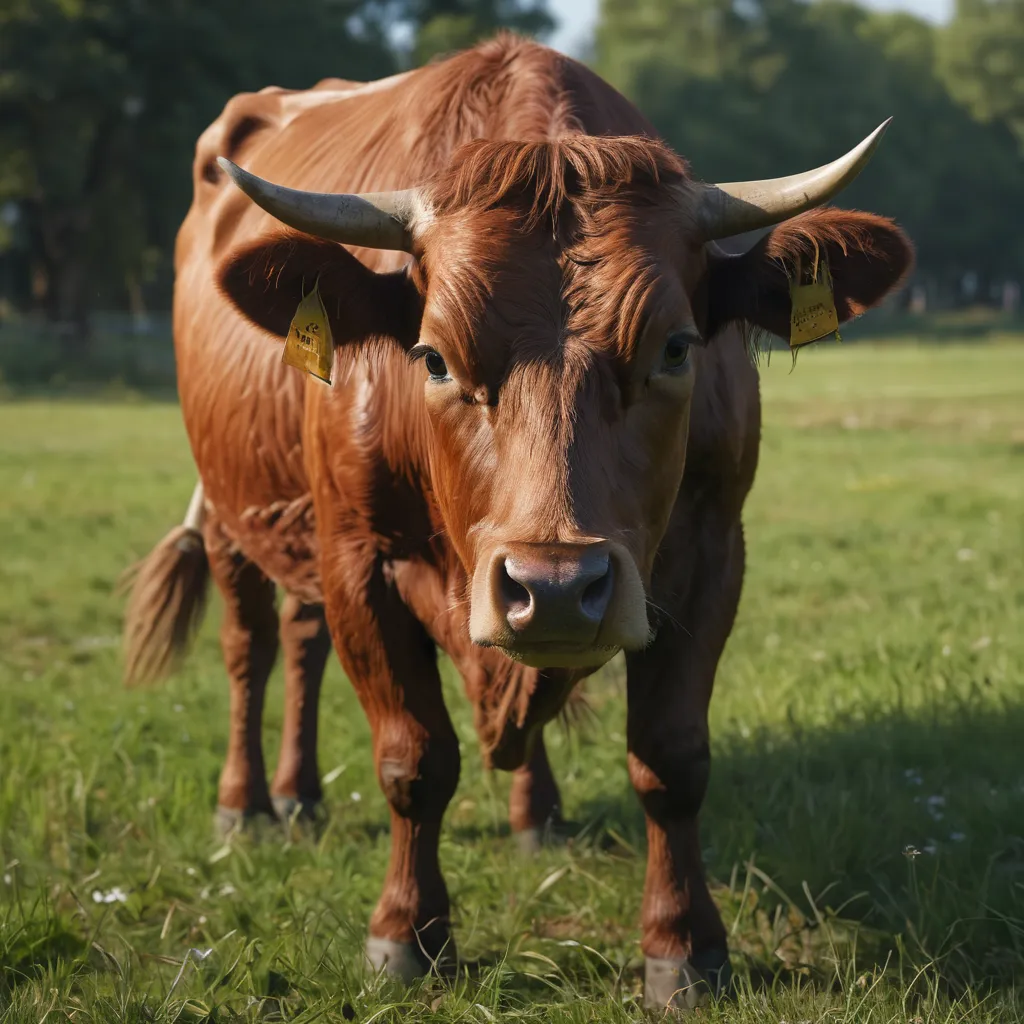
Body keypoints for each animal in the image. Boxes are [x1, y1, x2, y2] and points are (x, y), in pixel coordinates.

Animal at [123, 34, 913, 1010]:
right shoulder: (357, 557)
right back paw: (250, 805)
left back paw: (417, 803)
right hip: (236, 511)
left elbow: (672, 758)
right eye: (432, 357)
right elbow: (414, 758)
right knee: (254, 645)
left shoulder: (711, 553)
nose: (558, 586)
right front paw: (406, 935)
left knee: (314, 642)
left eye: (676, 348)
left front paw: (685, 947)